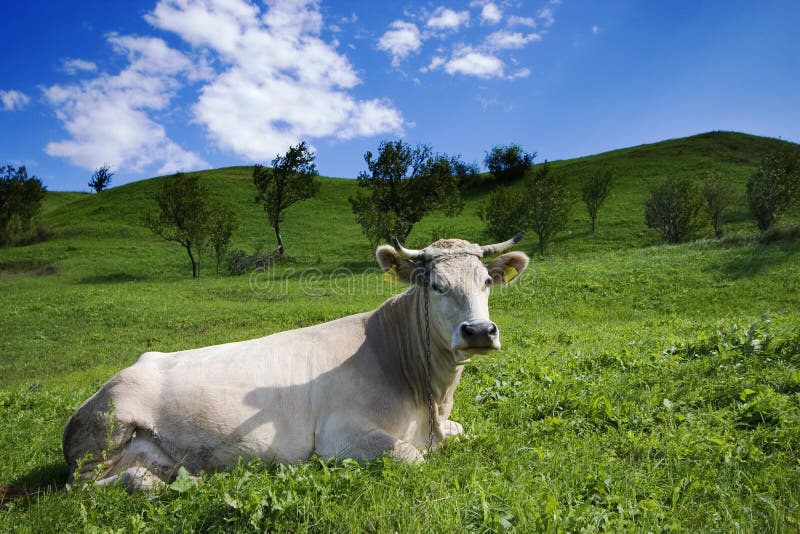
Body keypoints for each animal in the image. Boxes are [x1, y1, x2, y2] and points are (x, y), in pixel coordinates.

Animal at [63, 234, 529, 490]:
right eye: (436, 284)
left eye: (486, 281)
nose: (479, 332)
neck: (430, 398)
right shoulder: (338, 436)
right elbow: (413, 457)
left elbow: (460, 431)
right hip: (105, 431)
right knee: (89, 486)